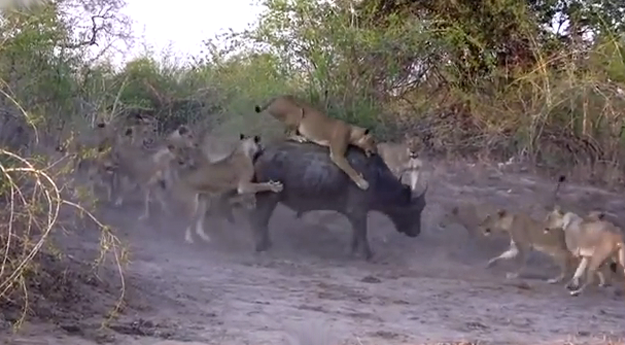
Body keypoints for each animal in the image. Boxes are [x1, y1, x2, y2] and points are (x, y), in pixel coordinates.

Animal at [246, 139, 426, 258]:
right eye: (414, 209)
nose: (417, 232)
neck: (377, 177)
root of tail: (262, 151)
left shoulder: (357, 213)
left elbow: (356, 233)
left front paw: (352, 251)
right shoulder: (357, 211)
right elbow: (362, 233)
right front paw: (367, 255)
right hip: (269, 197)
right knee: (259, 219)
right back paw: (262, 246)